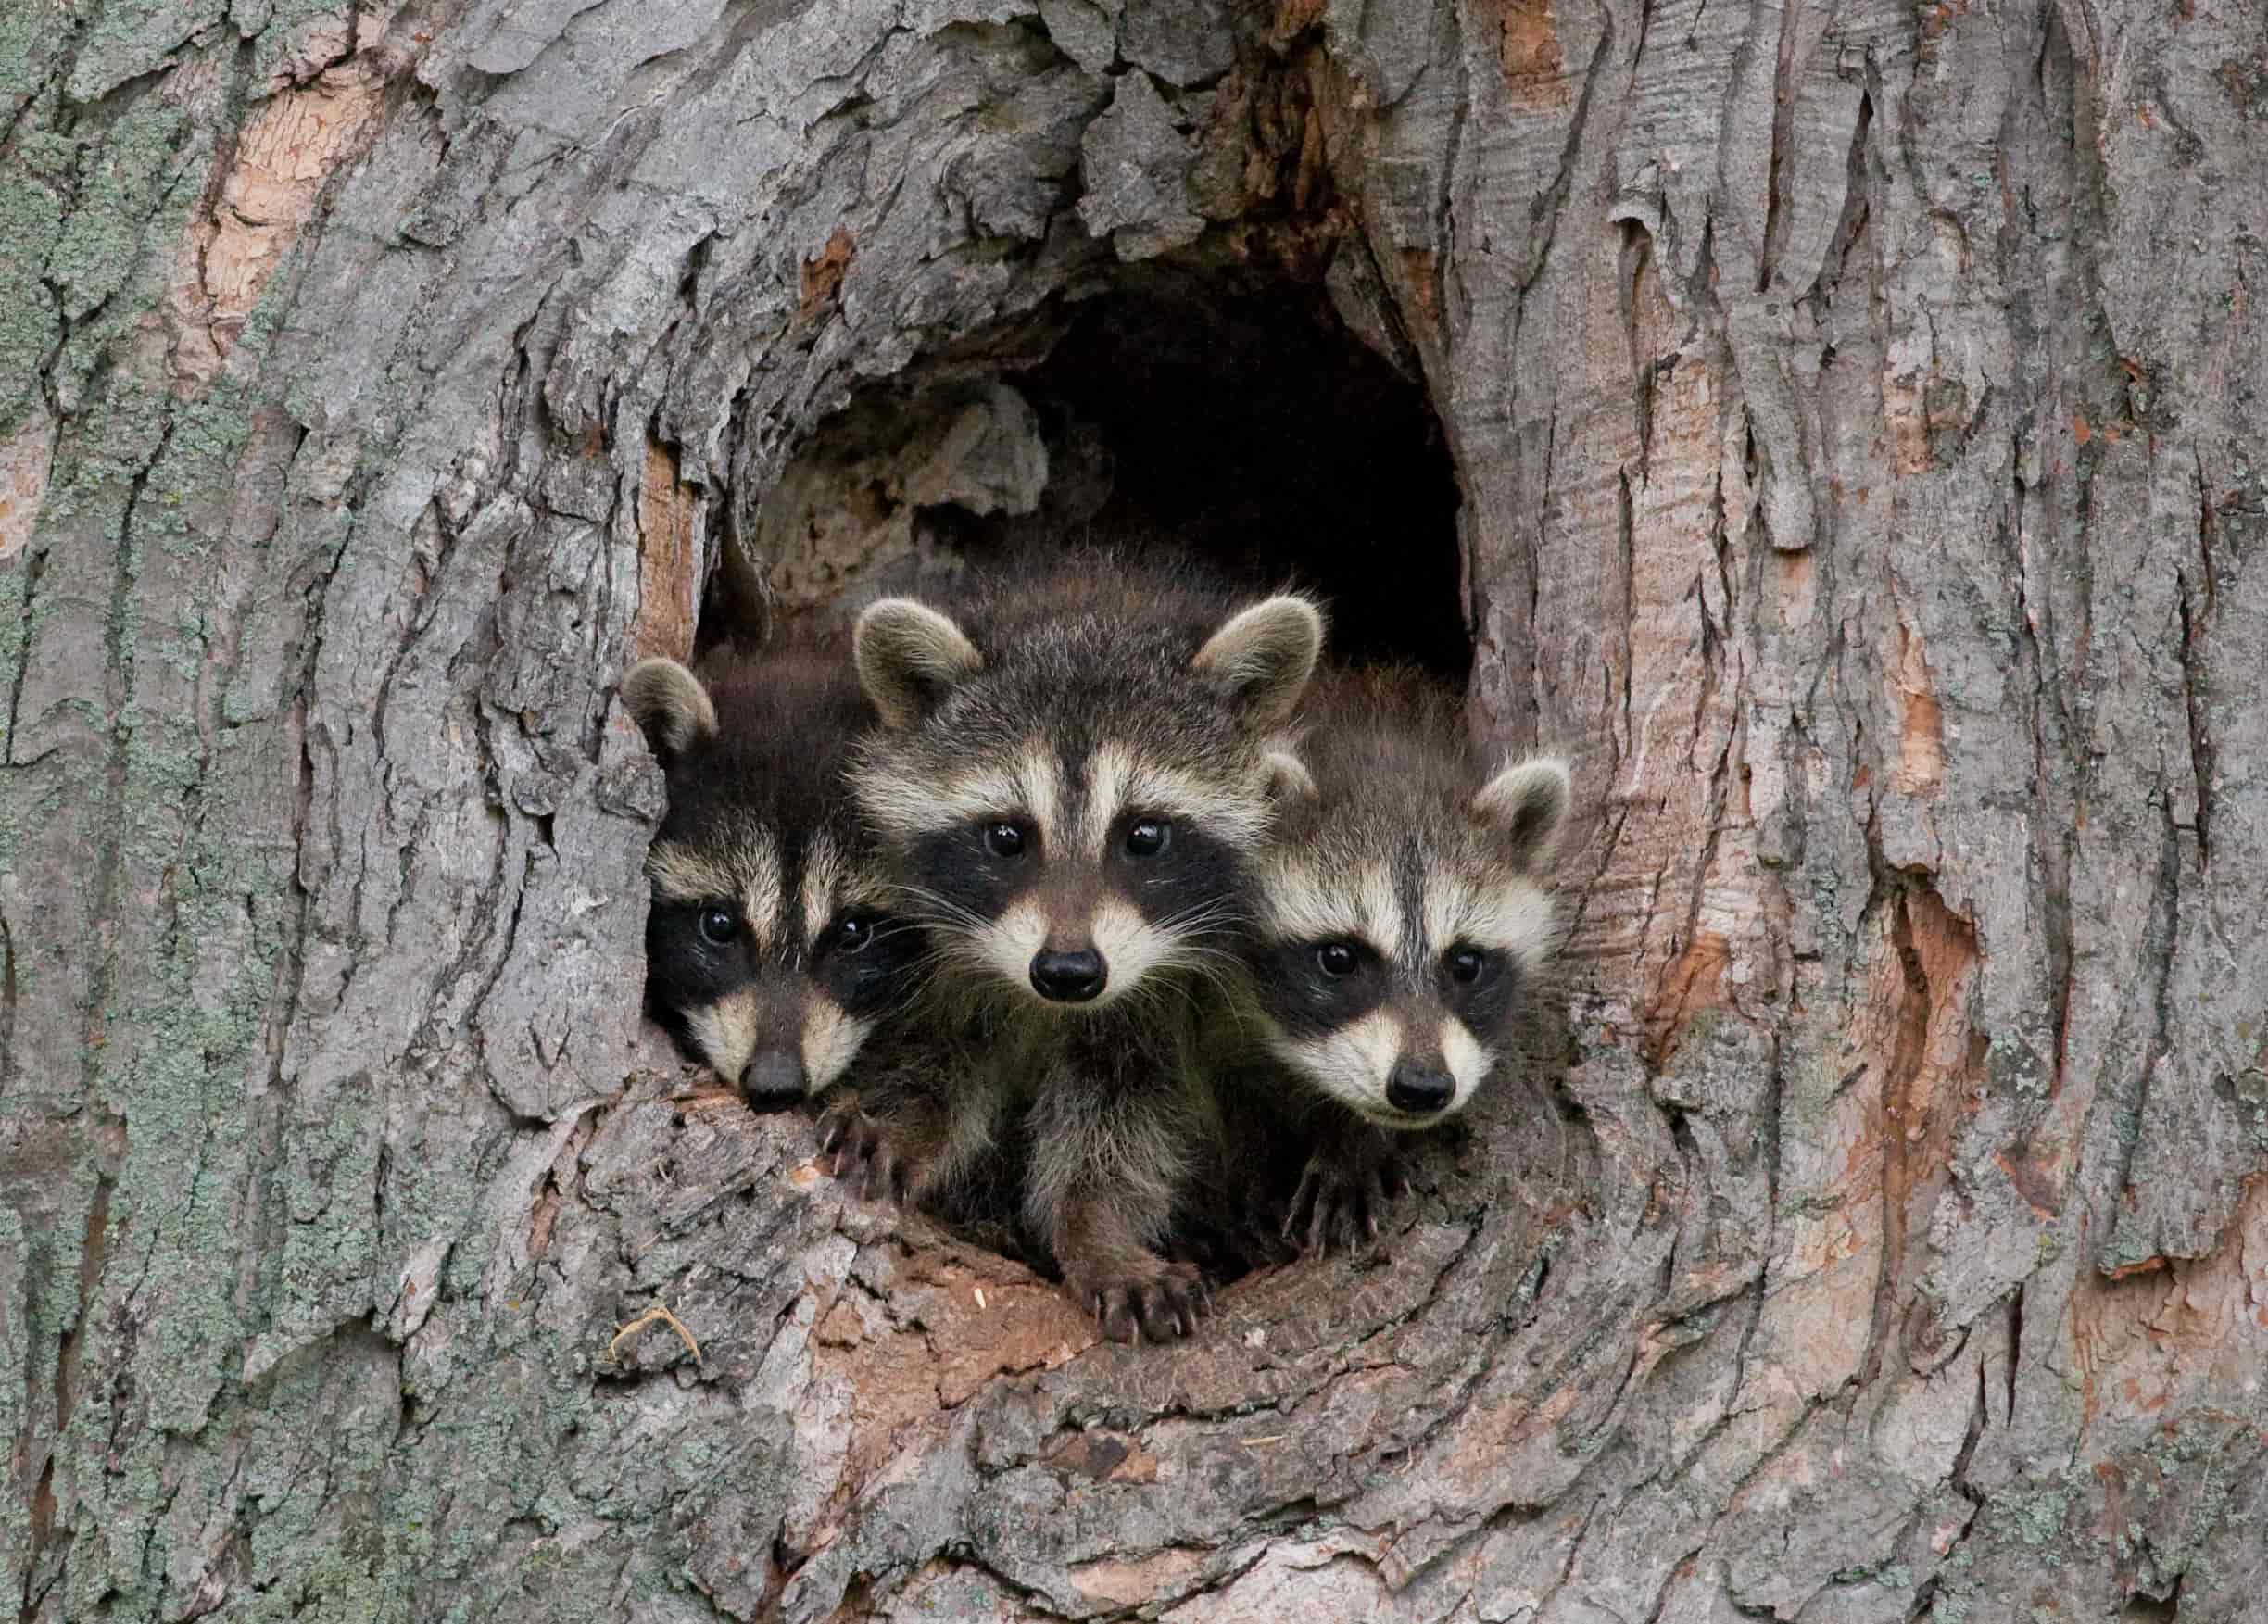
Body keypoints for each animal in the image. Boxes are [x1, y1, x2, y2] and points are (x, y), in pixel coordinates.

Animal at [827, 557, 1323, 1342]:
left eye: (1144, 835)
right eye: (1006, 835)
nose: (1066, 971)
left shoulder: (1155, 1003)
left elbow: (1119, 1125)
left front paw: (1099, 1234)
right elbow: (938, 1054)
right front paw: (905, 1120)